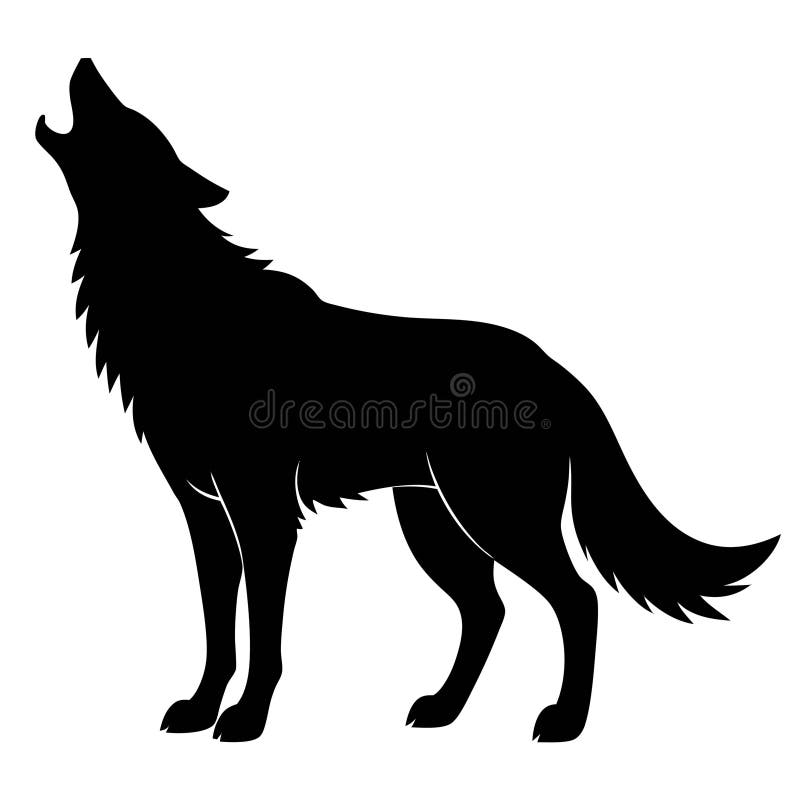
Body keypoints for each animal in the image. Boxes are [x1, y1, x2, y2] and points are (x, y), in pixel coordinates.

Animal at [37, 59, 778, 742]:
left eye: (124, 118)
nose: (86, 63)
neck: (183, 306)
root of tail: (555, 369)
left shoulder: (264, 514)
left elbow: (264, 634)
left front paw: (246, 719)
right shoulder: (205, 515)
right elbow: (220, 628)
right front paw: (199, 709)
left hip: (496, 520)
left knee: (578, 601)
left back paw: (564, 721)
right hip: (435, 525)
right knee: (488, 612)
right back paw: (444, 709)